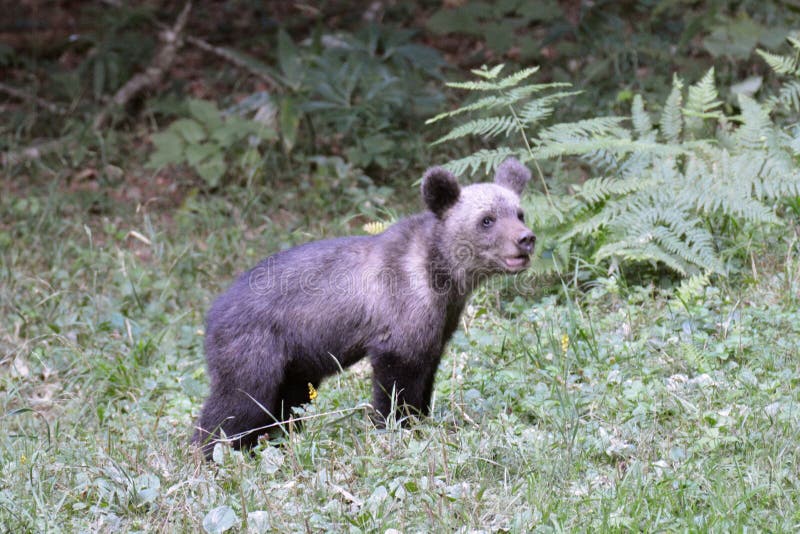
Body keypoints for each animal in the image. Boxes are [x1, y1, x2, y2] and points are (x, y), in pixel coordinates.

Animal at [192, 158, 535, 457]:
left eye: (519, 213)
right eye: (487, 219)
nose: (526, 239)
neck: (442, 279)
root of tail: (212, 314)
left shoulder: (436, 331)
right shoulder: (397, 324)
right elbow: (395, 389)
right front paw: (395, 427)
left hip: (295, 363)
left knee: (283, 404)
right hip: (255, 350)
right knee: (236, 405)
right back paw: (211, 452)